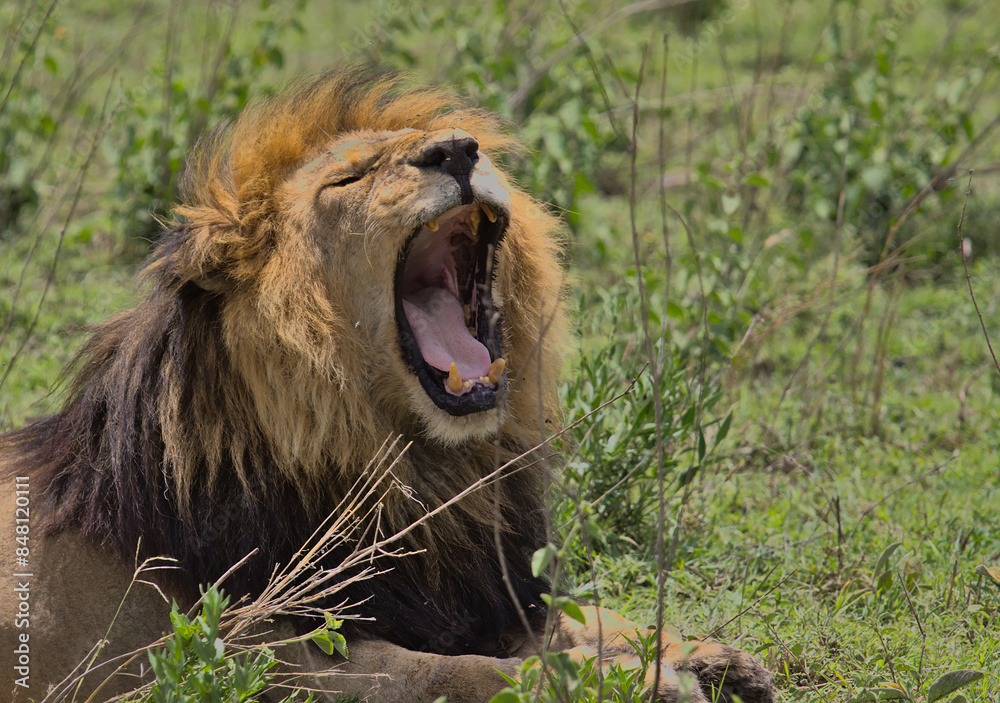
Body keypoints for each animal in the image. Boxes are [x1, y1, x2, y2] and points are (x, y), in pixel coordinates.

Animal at [1, 67, 773, 703]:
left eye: (453, 144)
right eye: (347, 179)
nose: (458, 150)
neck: (423, 469)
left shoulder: (481, 588)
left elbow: (585, 616)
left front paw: (704, 655)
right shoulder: (252, 651)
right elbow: (459, 673)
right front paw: (633, 678)